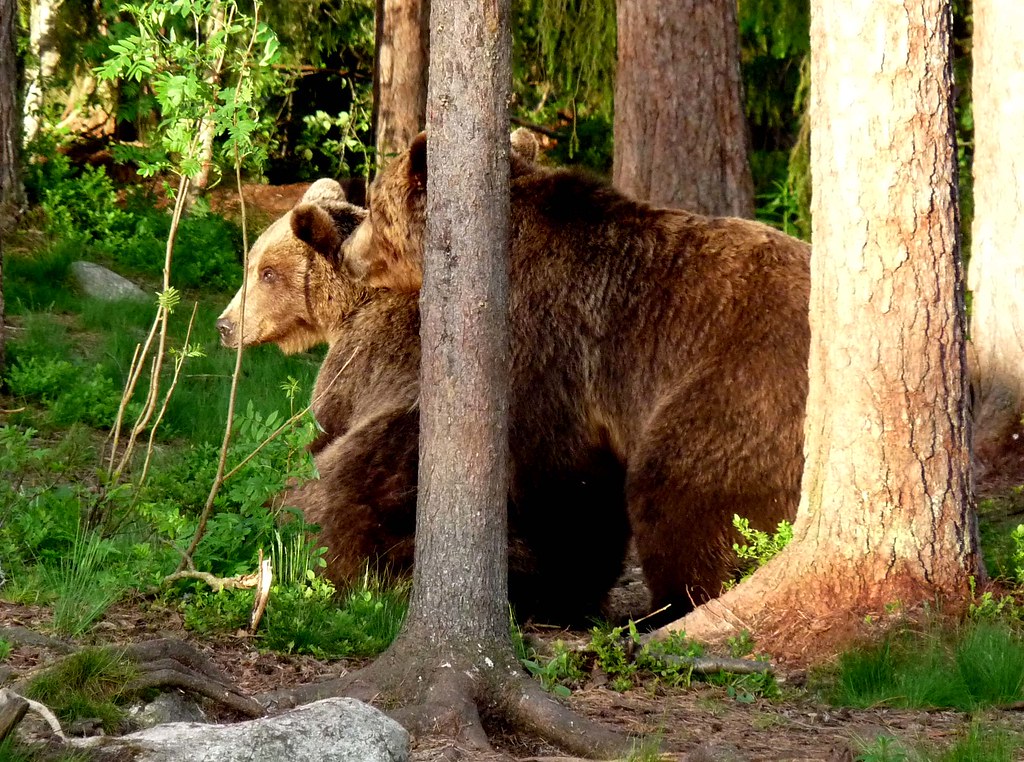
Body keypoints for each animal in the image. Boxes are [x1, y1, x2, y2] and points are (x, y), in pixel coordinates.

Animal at [216, 179, 631, 624]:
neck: (351, 302)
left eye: (268, 273)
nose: (225, 324)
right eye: (252, 265)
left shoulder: (360, 362)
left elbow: (322, 429)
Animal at [341, 131, 812, 619]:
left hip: (739, 384)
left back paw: (668, 606)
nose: (345, 252)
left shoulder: (552, 341)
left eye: (372, 205)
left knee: (678, 486)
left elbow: (564, 480)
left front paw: (556, 592)